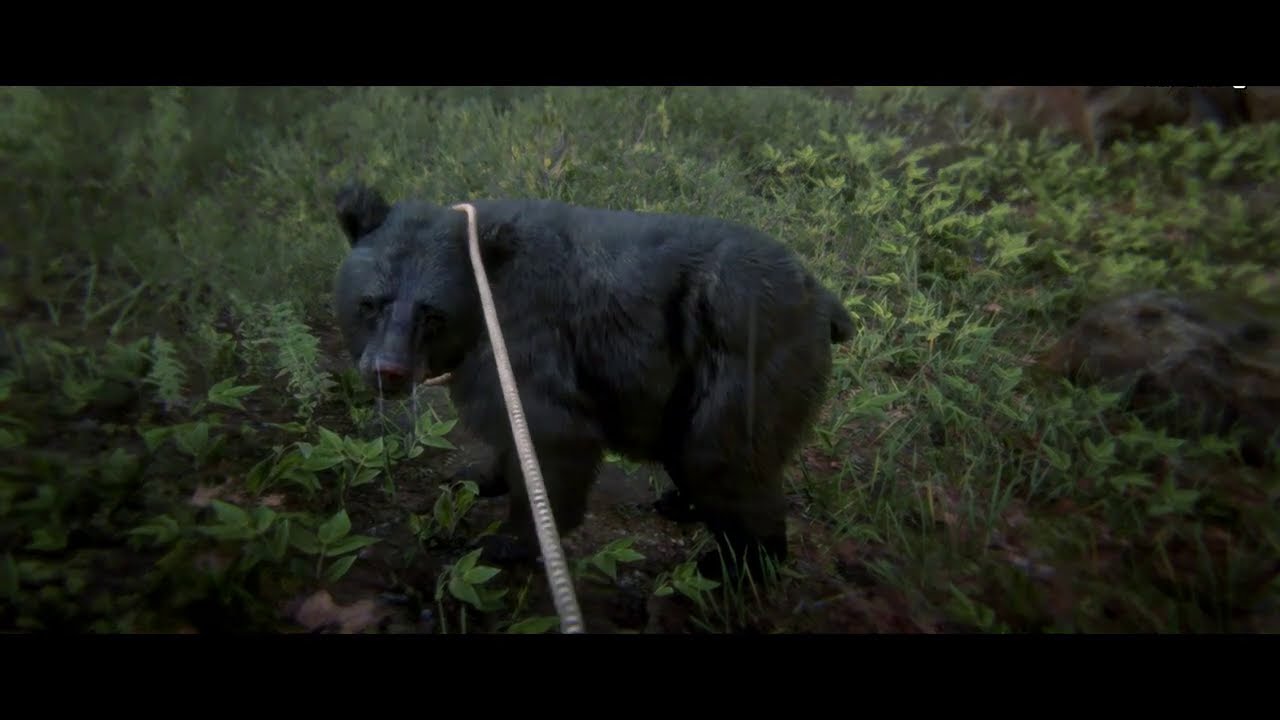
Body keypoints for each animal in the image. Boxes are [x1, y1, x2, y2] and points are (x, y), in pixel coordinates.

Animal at [331, 180, 856, 579]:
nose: (387, 371)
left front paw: (508, 542)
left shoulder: (532, 336)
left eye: (432, 315)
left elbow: (553, 436)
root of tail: (825, 301)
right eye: (369, 303)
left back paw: (733, 568)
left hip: (743, 363)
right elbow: (508, 432)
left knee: (724, 460)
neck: (485, 280)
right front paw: (477, 476)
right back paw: (681, 505)